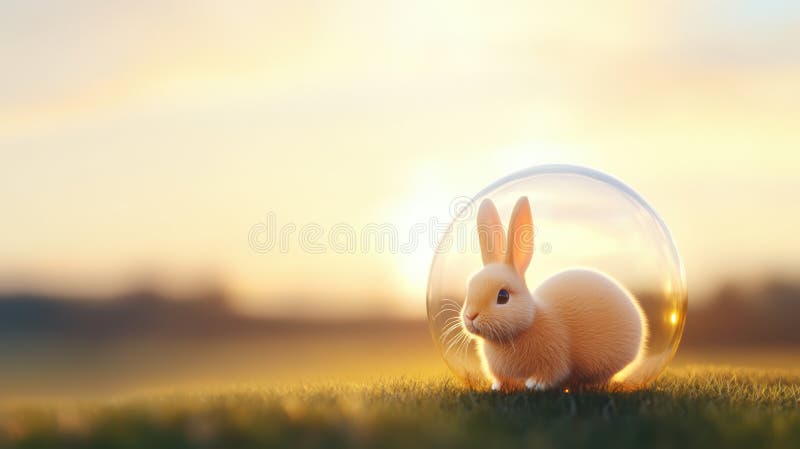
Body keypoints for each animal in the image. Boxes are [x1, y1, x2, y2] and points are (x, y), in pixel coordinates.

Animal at [461, 196, 647, 391]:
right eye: (470, 286)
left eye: (503, 296)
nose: (470, 316)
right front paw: (497, 387)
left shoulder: (555, 356)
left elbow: (553, 374)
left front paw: (534, 384)